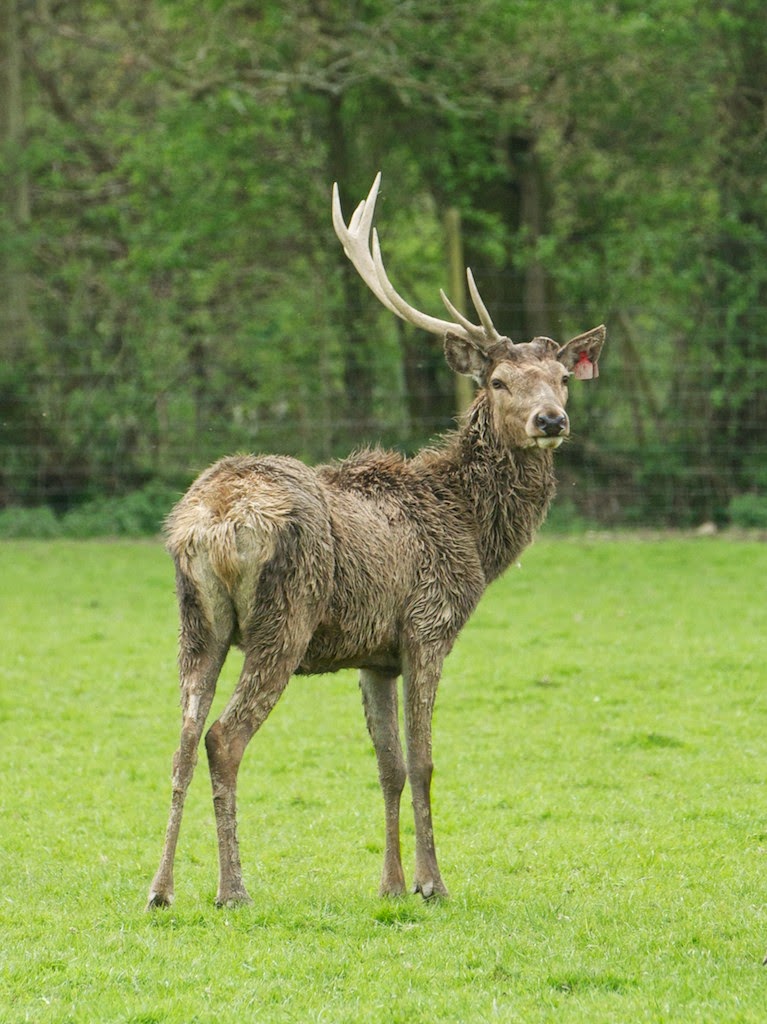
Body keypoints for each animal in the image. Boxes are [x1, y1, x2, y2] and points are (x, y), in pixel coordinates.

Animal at [146, 172, 605, 909]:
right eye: (498, 380)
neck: (473, 534)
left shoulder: (375, 654)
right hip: (285, 618)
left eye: (563, 379)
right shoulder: (428, 626)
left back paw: (159, 890)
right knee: (223, 737)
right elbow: (423, 761)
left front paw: (389, 884)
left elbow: (387, 765)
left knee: (183, 737)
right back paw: (232, 889)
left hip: (197, 620)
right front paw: (431, 883)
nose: (551, 420)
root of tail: (210, 521)